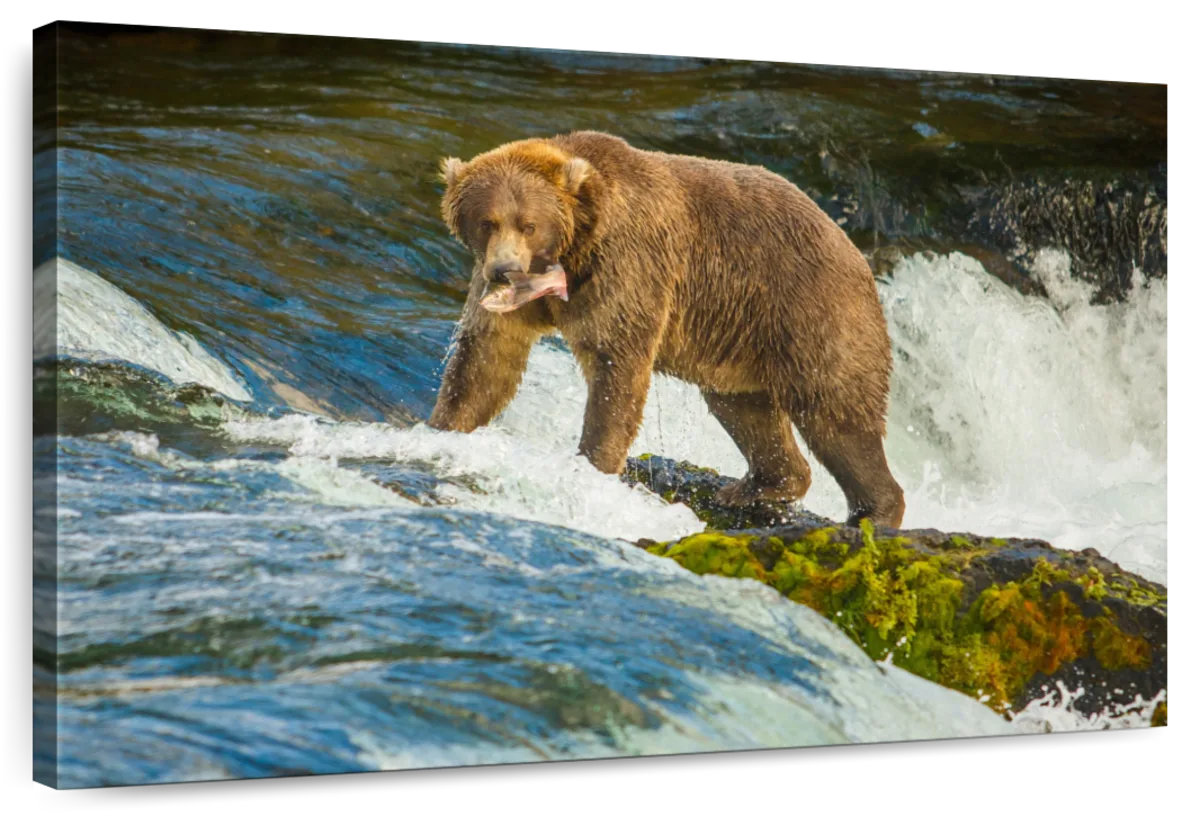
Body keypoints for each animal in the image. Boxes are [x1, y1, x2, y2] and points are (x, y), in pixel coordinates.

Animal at [428, 131, 905, 528]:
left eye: (528, 223)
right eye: (487, 221)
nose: (505, 270)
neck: (573, 250)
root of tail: (855, 251)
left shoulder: (628, 264)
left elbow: (615, 368)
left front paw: (591, 467)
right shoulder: (511, 298)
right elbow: (486, 359)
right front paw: (445, 428)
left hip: (809, 311)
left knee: (835, 412)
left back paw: (874, 513)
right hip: (738, 340)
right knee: (744, 409)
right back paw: (755, 488)